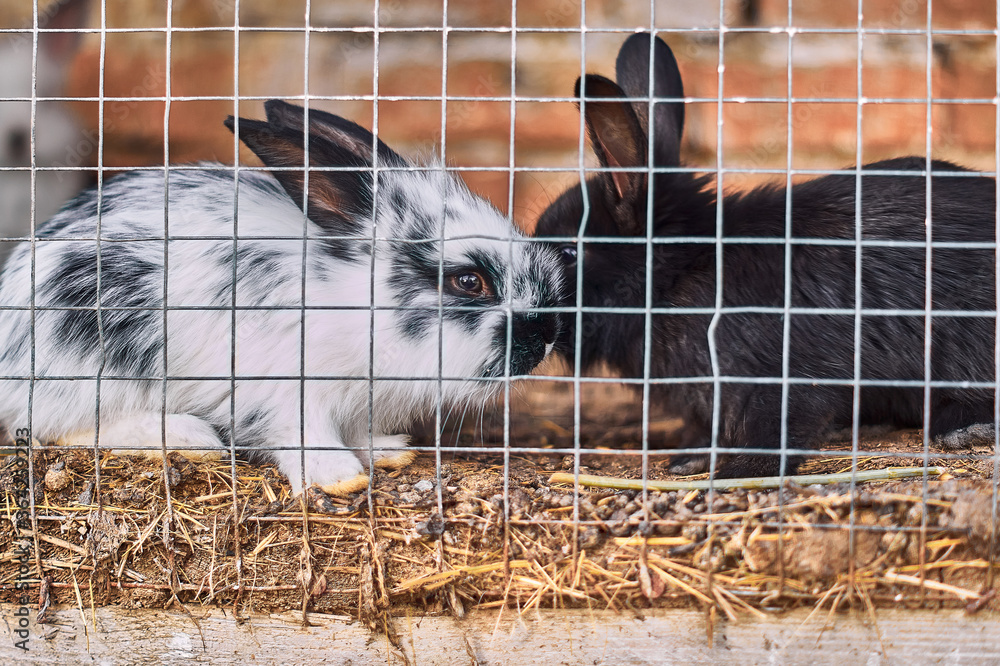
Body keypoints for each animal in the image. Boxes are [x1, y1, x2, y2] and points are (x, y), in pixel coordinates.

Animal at [0, 100, 563, 494]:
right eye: (469, 282)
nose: (545, 336)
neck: (356, 303)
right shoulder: (285, 392)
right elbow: (305, 435)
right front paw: (342, 478)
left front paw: (387, 452)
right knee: (51, 427)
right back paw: (189, 438)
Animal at [534, 32, 996, 479]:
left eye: (568, 251)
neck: (676, 276)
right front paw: (690, 460)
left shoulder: (782, 380)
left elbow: (777, 429)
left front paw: (737, 473)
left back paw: (964, 428)